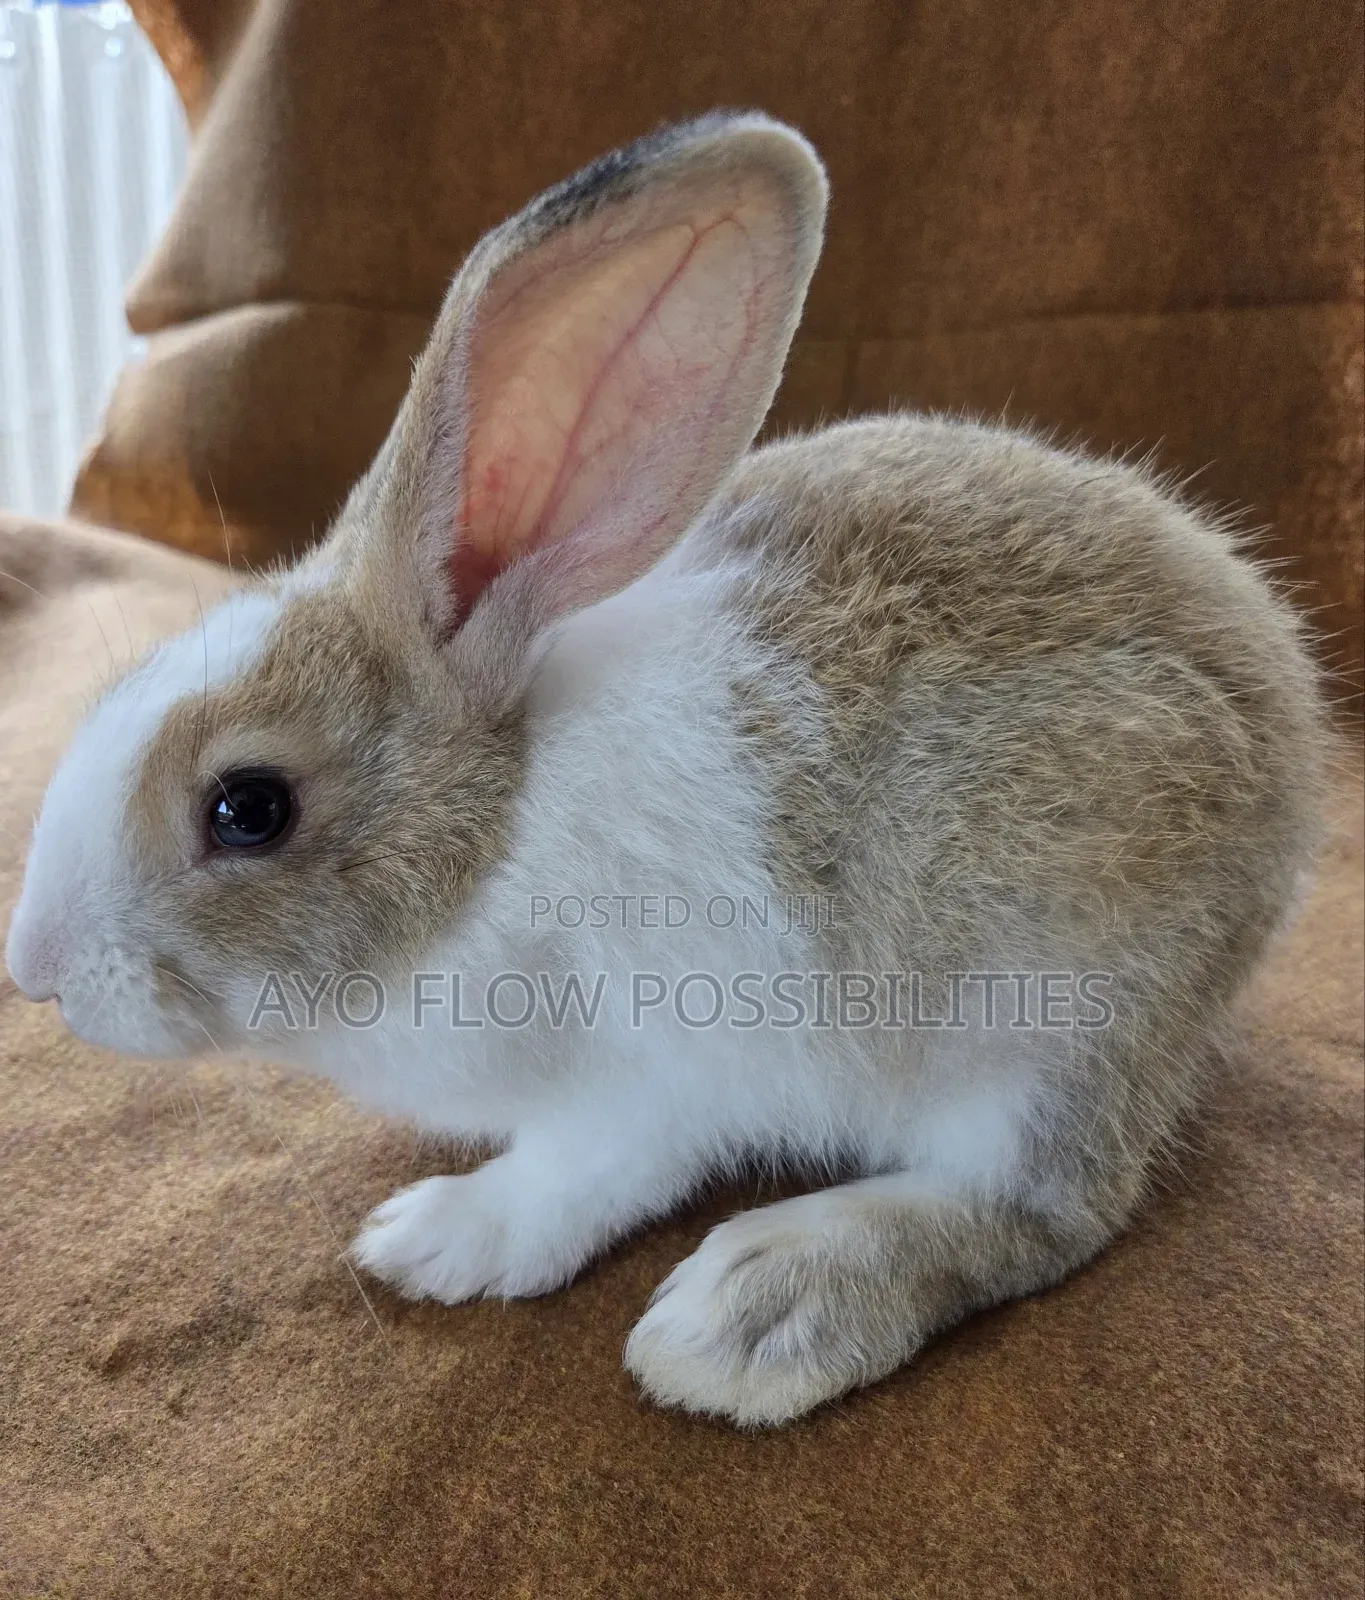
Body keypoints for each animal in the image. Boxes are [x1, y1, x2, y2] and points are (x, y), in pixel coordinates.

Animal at [5, 112, 1324, 1427]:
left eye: (248, 808)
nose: (37, 973)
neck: (493, 840)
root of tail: (1293, 756)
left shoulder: (646, 1078)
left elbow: (578, 1173)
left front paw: (433, 1240)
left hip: (1053, 1024)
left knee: (1042, 1206)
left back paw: (755, 1314)